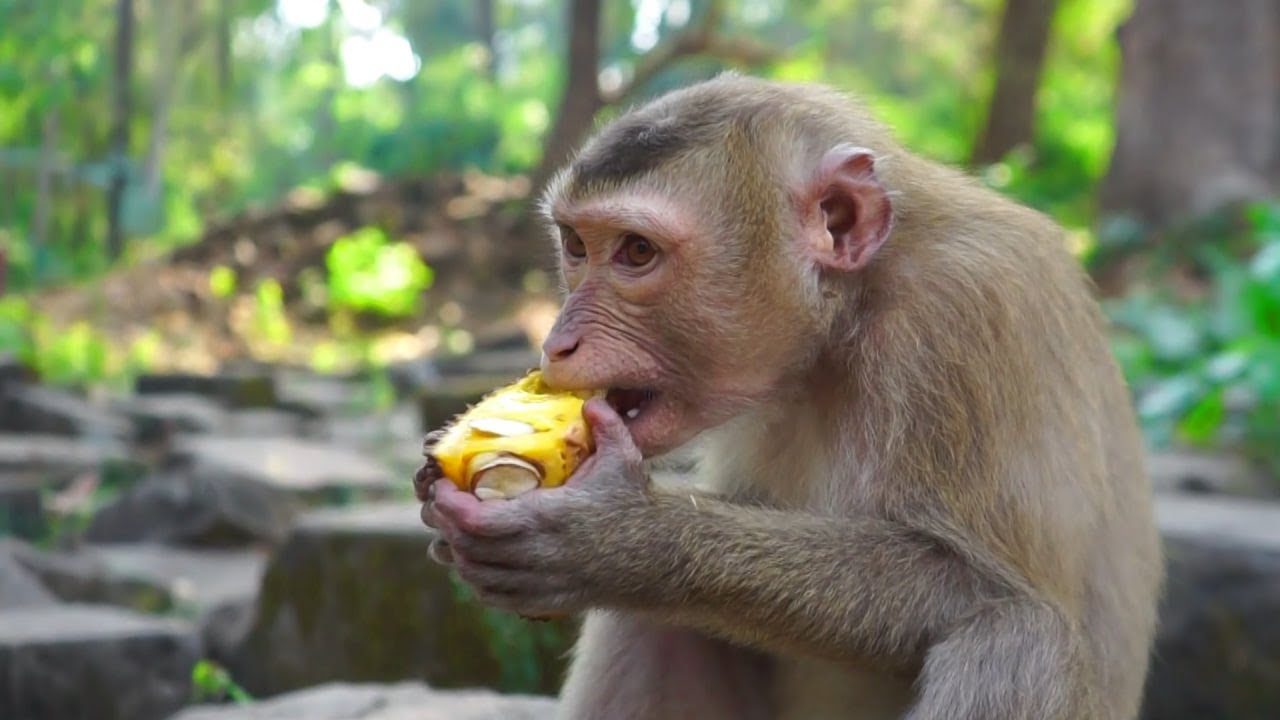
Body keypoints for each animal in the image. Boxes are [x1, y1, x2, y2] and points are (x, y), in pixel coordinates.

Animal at [414, 73, 1164, 720]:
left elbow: (988, 585)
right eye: (575, 245)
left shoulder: (972, 310)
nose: (558, 343)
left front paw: (619, 541)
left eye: (635, 252)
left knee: (1019, 638)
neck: (848, 318)